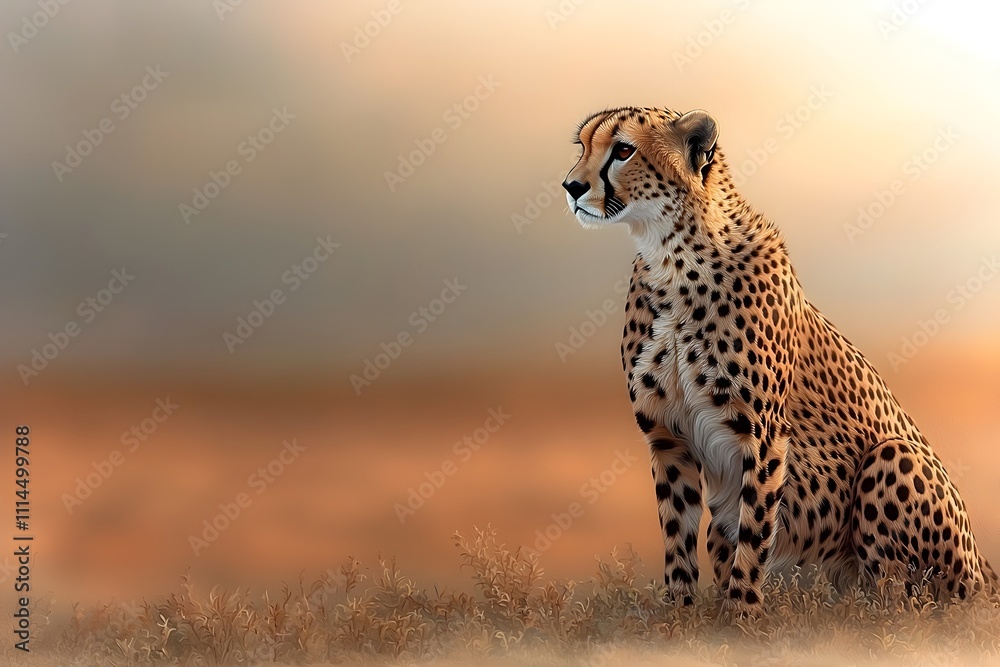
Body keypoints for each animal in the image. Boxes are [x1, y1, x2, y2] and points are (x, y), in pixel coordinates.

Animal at [561, 105, 999, 609]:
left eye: (623, 150)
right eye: (583, 147)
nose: (570, 187)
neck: (671, 255)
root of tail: (983, 572)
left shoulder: (763, 434)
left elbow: (754, 535)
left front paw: (740, 616)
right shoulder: (668, 436)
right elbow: (677, 536)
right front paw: (680, 615)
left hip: (893, 461)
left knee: (902, 601)